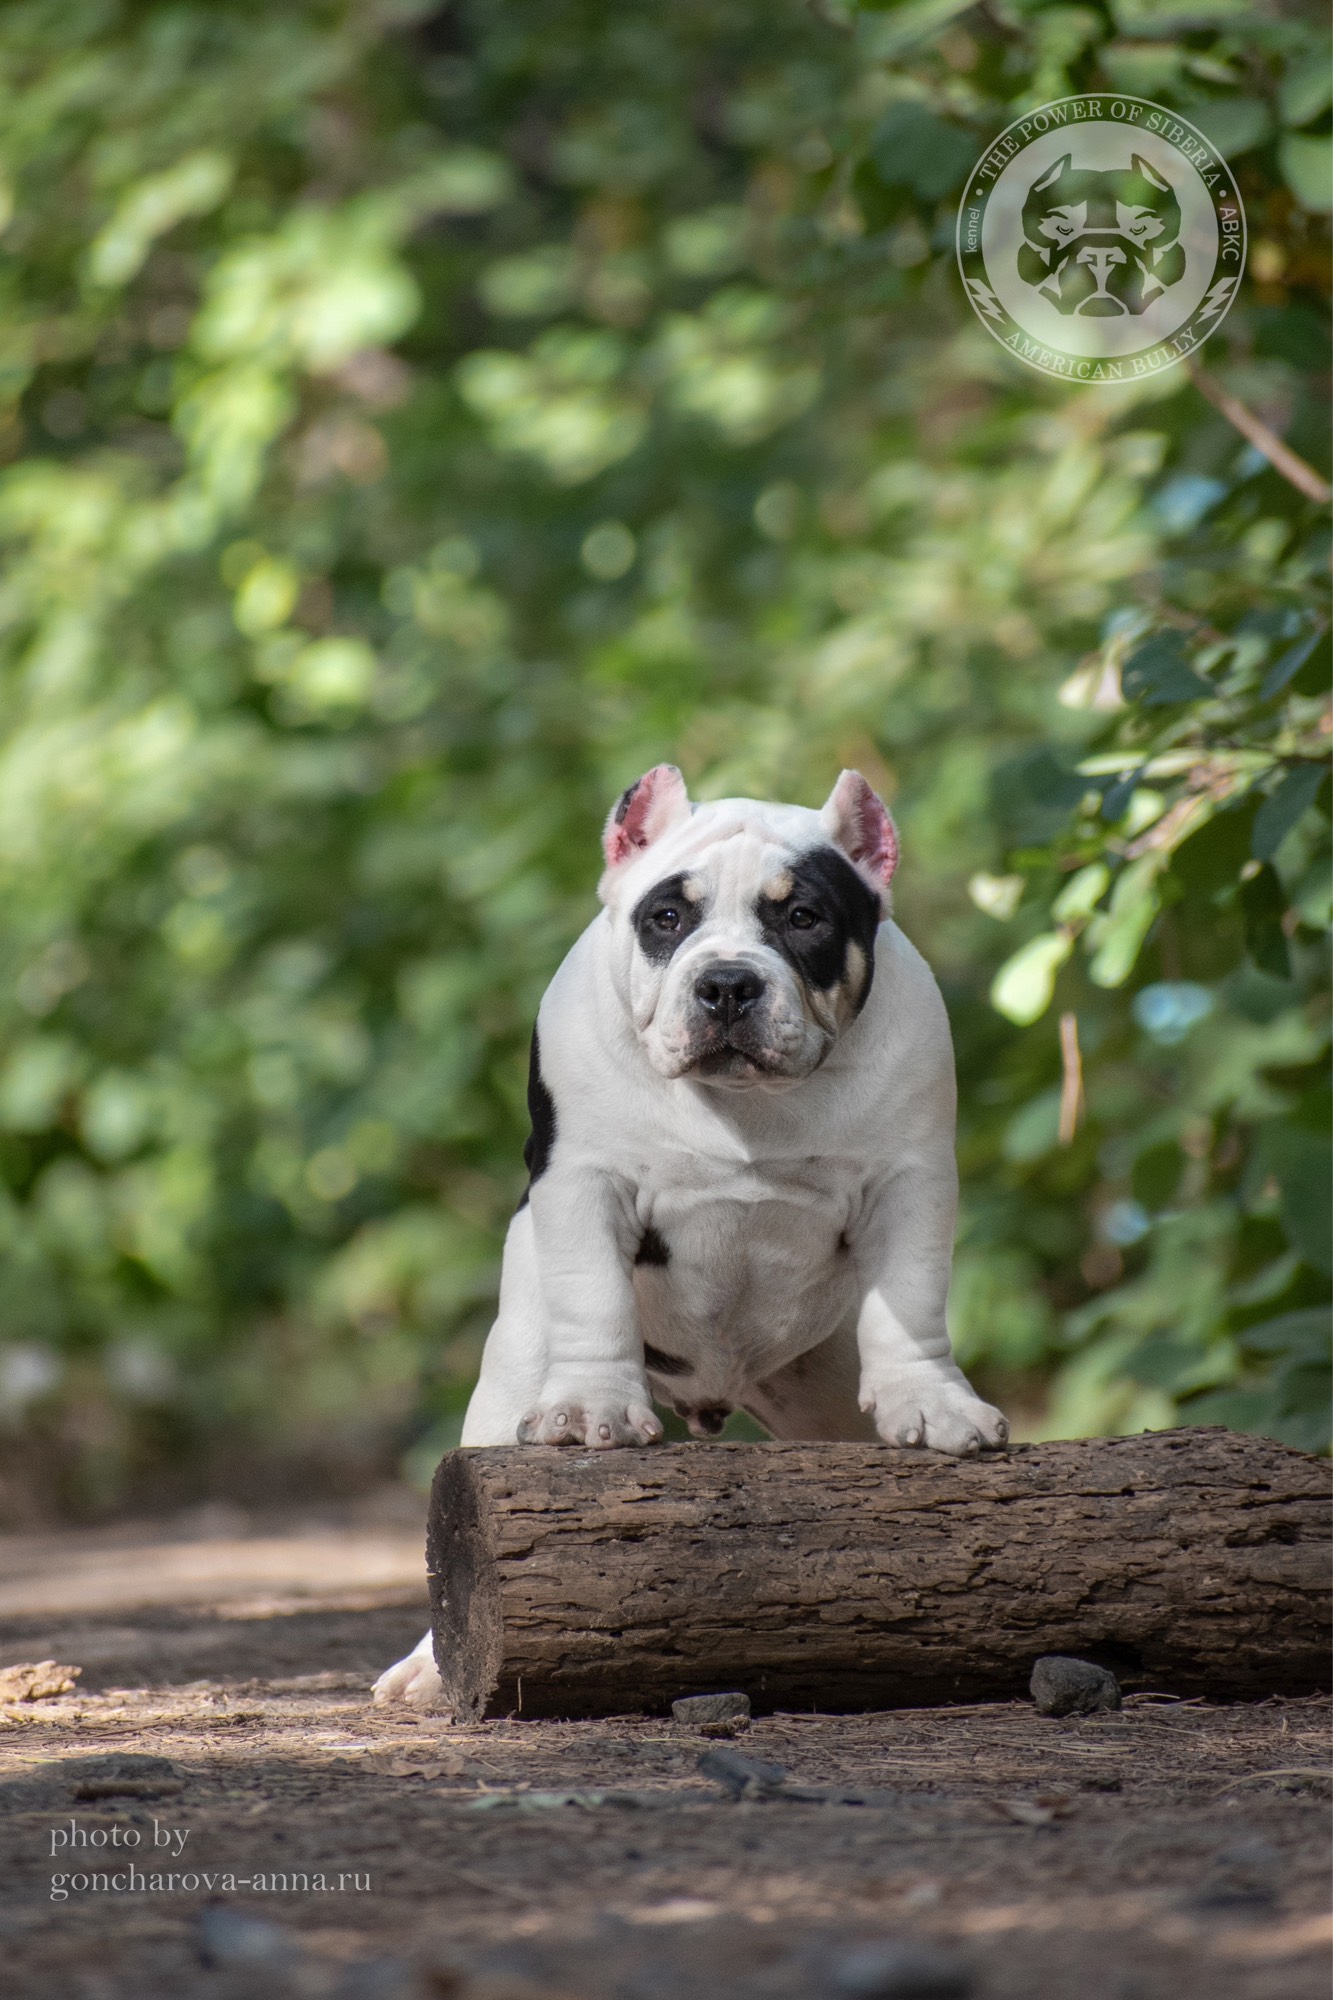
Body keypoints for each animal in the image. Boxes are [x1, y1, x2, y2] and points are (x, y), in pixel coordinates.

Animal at [368, 764, 1000, 1704]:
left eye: (803, 917)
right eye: (667, 918)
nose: (729, 983)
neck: (746, 1108)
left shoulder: (912, 1180)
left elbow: (911, 1299)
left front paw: (933, 1402)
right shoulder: (584, 1178)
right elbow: (593, 1292)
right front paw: (593, 1408)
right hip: (510, 1374)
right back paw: (424, 1666)